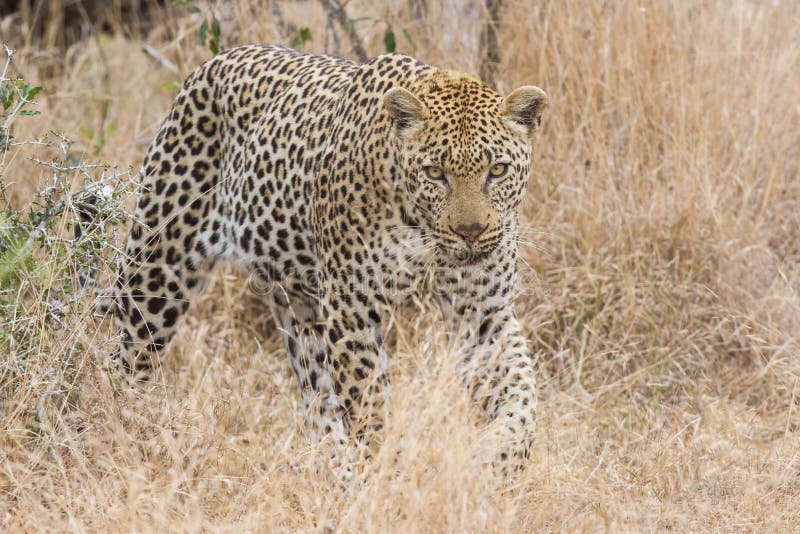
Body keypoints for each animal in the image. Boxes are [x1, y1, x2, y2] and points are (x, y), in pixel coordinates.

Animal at [111, 43, 548, 478]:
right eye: (435, 173)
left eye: (497, 170)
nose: (470, 232)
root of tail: (214, 61)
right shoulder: (353, 313)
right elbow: (370, 408)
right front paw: (387, 476)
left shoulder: (482, 313)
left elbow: (522, 398)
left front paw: (497, 460)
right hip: (158, 271)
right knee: (126, 362)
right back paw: (124, 434)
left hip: (299, 305)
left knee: (316, 395)